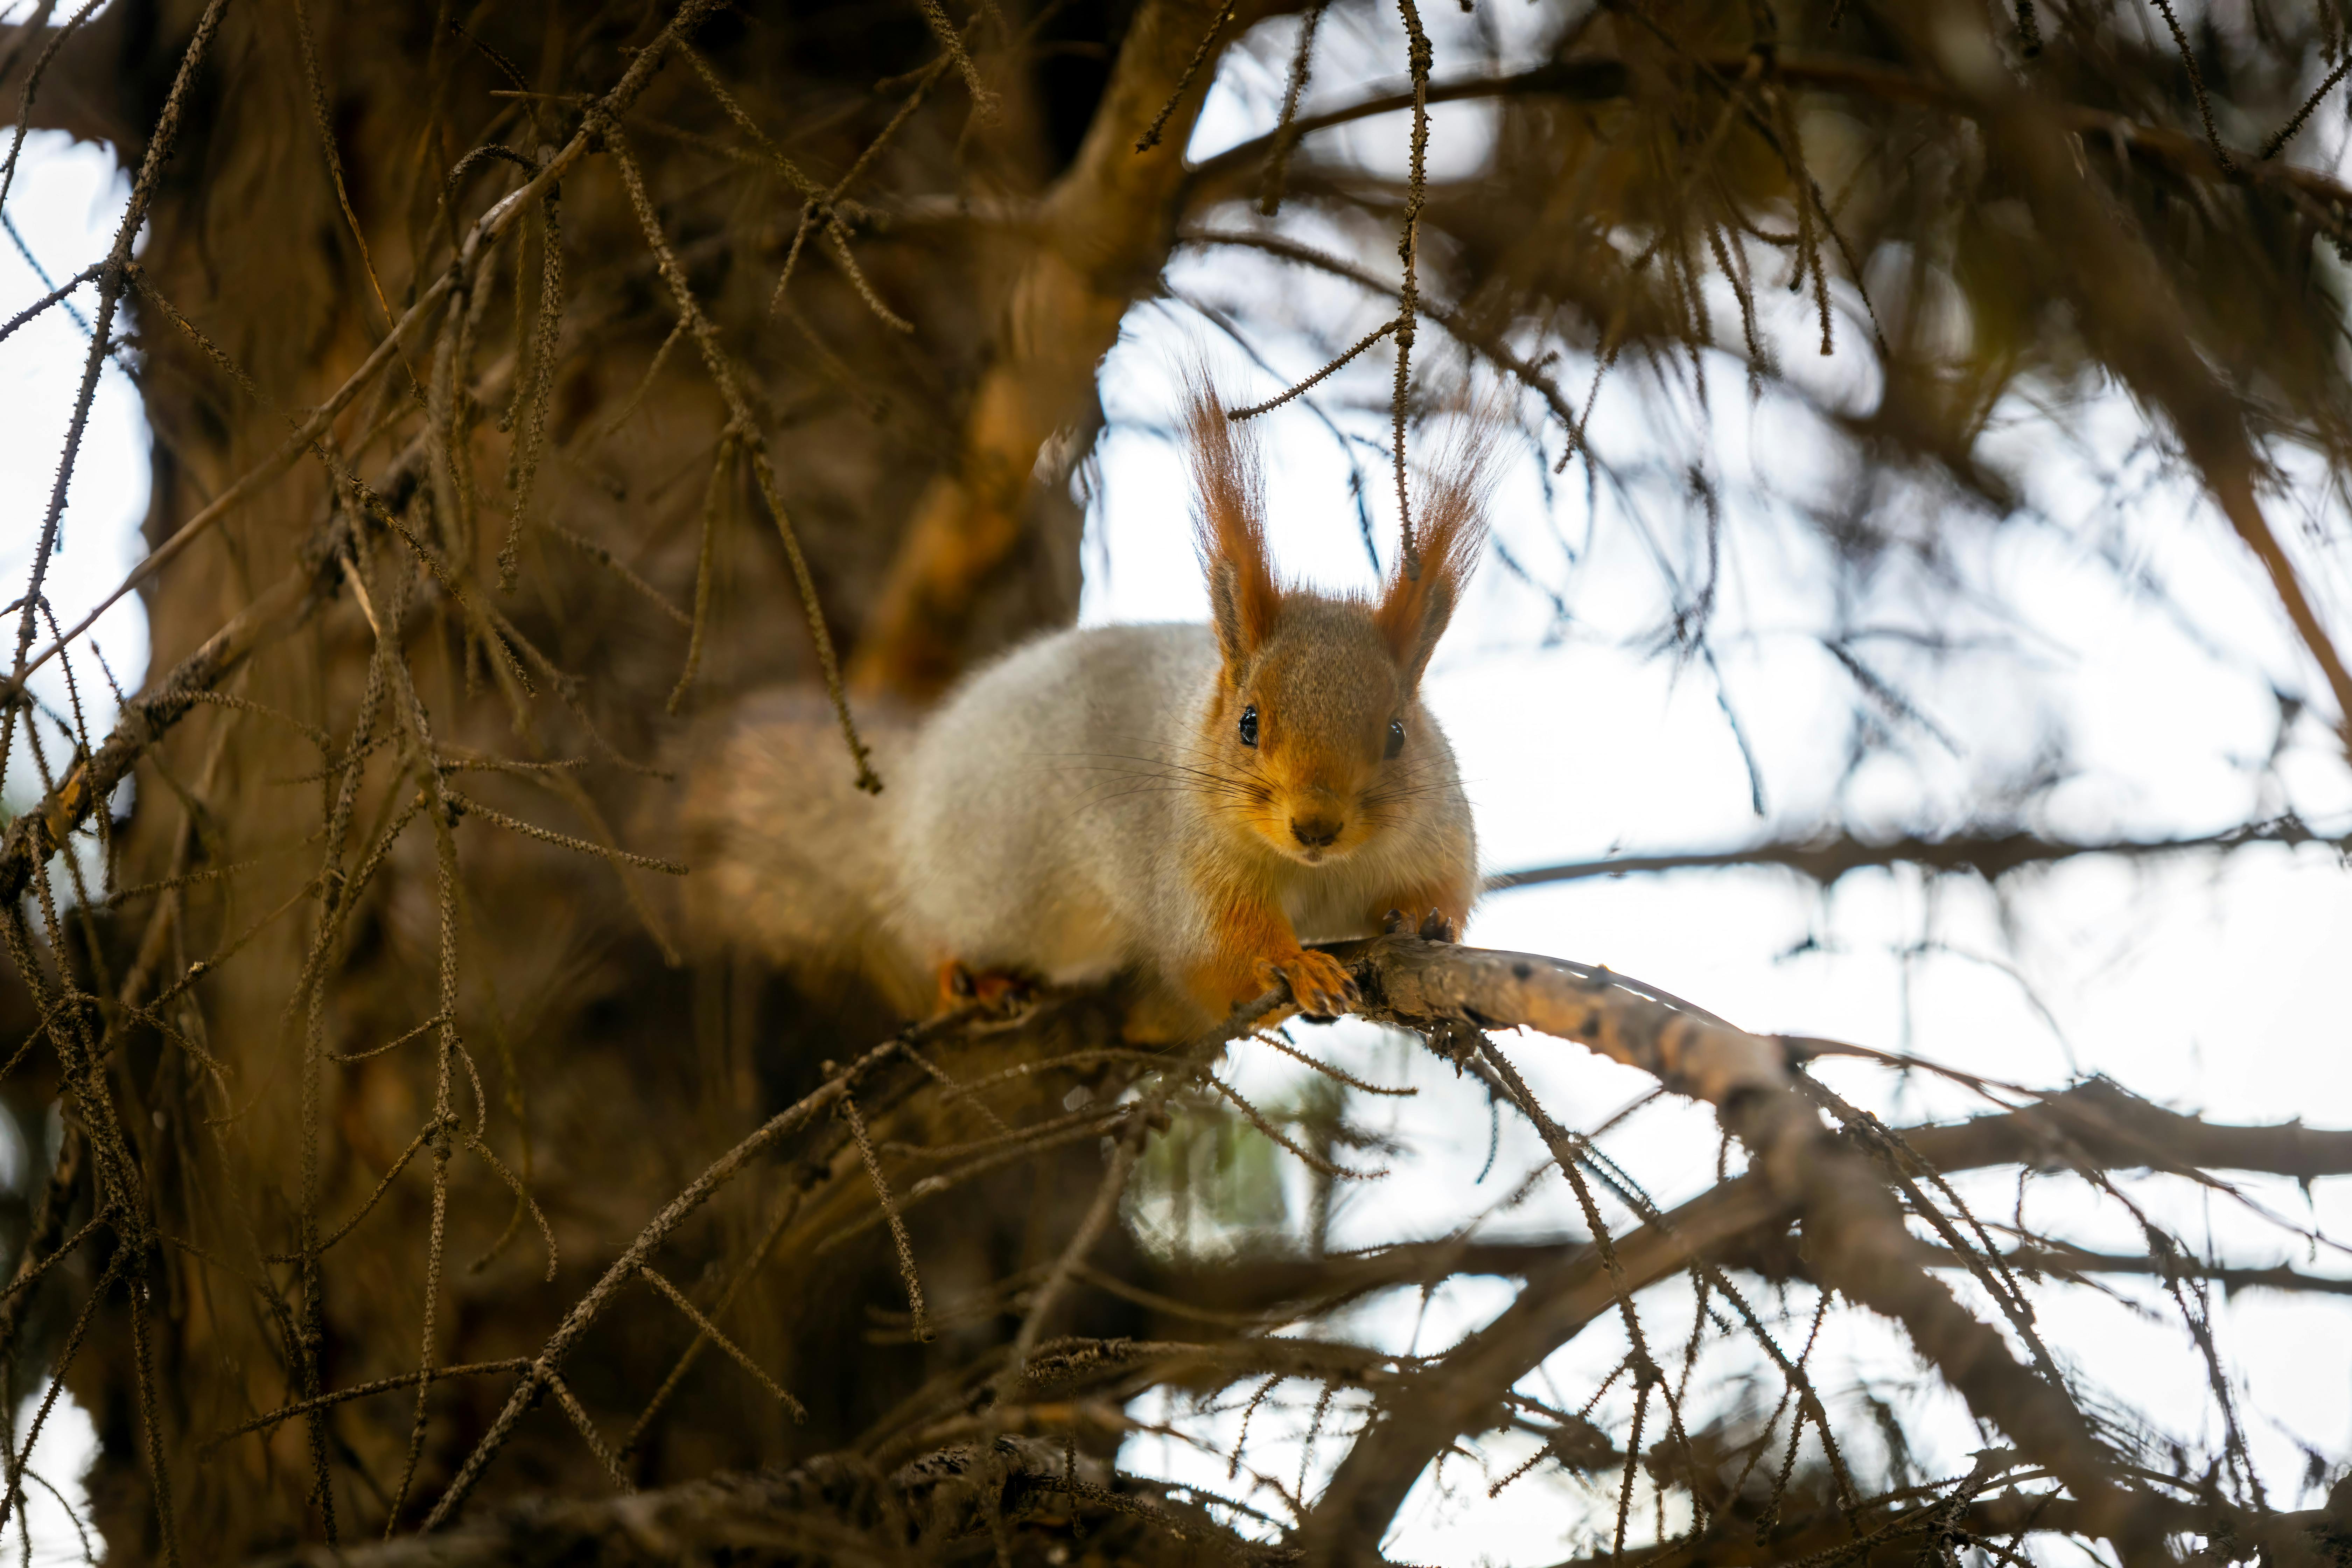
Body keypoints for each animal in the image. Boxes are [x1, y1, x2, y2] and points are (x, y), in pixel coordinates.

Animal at [683, 380, 1493, 1038]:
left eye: (1398, 734)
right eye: (1249, 724)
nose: (1316, 826)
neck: (1319, 873)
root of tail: (909, 798)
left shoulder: (1436, 829)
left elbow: (1443, 885)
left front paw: (1431, 921)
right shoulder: (1187, 866)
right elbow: (1214, 954)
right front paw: (1292, 967)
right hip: (979, 886)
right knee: (928, 926)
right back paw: (968, 975)